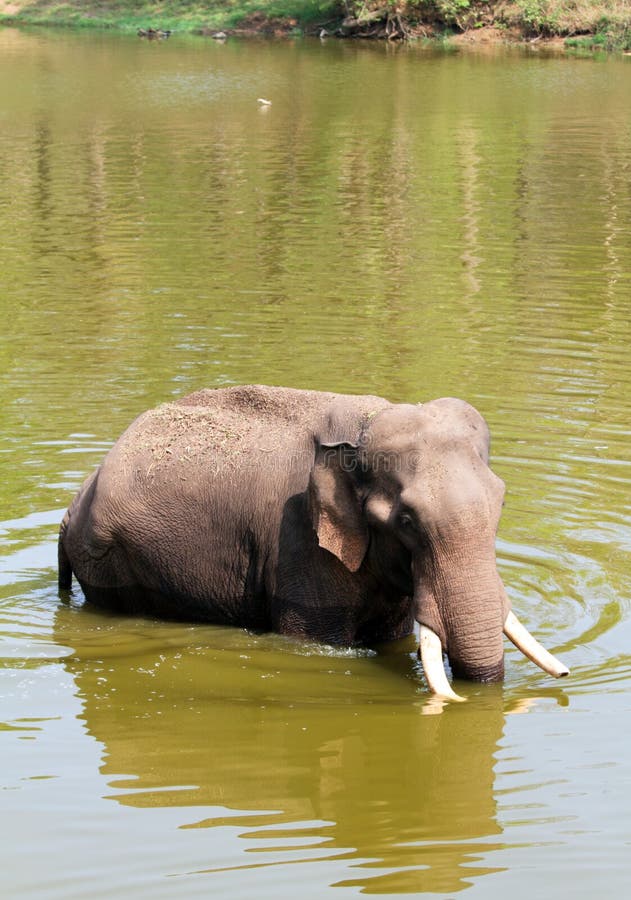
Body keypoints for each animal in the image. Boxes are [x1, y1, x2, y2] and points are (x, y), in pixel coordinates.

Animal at [58, 384, 568, 699]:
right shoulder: (300, 544)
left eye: (501, 502)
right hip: (112, 561)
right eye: (405, 520)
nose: (566, 674)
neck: (366, 423)